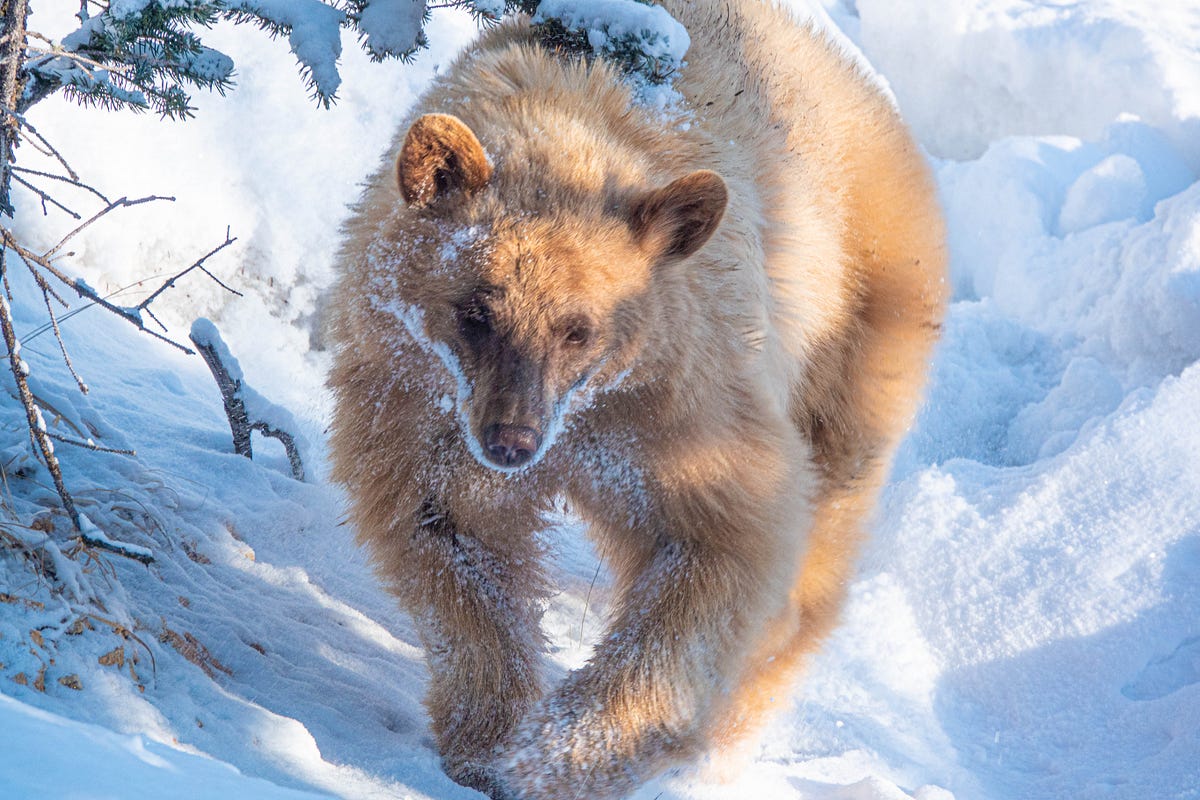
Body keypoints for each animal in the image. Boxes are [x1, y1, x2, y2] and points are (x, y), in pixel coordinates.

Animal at [327, 0, 947, 797]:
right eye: (477, 309)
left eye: (578, 327)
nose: (511, 442)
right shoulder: (416, 403)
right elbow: (450, 540)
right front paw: (487, 739)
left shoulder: (680, 407)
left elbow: (723, 543)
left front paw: (555, 758)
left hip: (860, 324)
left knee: (825, 521)